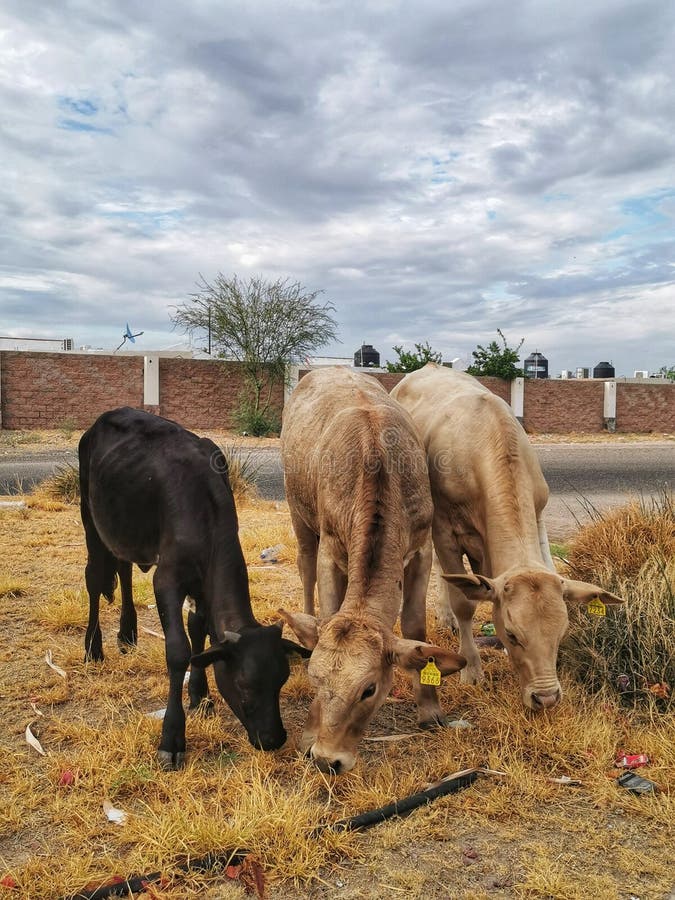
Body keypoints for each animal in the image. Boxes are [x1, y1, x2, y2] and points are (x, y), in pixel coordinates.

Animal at [78, 407, 308, 769]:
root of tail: (103, 418)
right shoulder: (167, 580)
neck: (204, 507)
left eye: (282, 680)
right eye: (244, 685)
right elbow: (179, 651)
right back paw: (93, 648)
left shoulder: (202, 586)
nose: (273, 739)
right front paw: (172, 738)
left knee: (125, 571)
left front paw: (200, 695)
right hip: (89, 515)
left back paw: (127, 634)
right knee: (92, 578)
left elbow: (199, 629)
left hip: (126, 530)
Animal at [278, 368, 465, 774]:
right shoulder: (331, 546)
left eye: (369, 689)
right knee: (304, 567)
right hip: (298, 511)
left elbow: (414, 626)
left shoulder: (421, 547)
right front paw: (309, 734)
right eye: (315, 681)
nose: (327, 760)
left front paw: (430, 710)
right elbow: (329, 607)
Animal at [391, 364, 624, 711]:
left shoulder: (537, 513)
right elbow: (464, 602)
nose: (546, 697)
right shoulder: (444, 527)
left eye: (562, 633)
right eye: (513, 635)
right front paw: (472, 668)